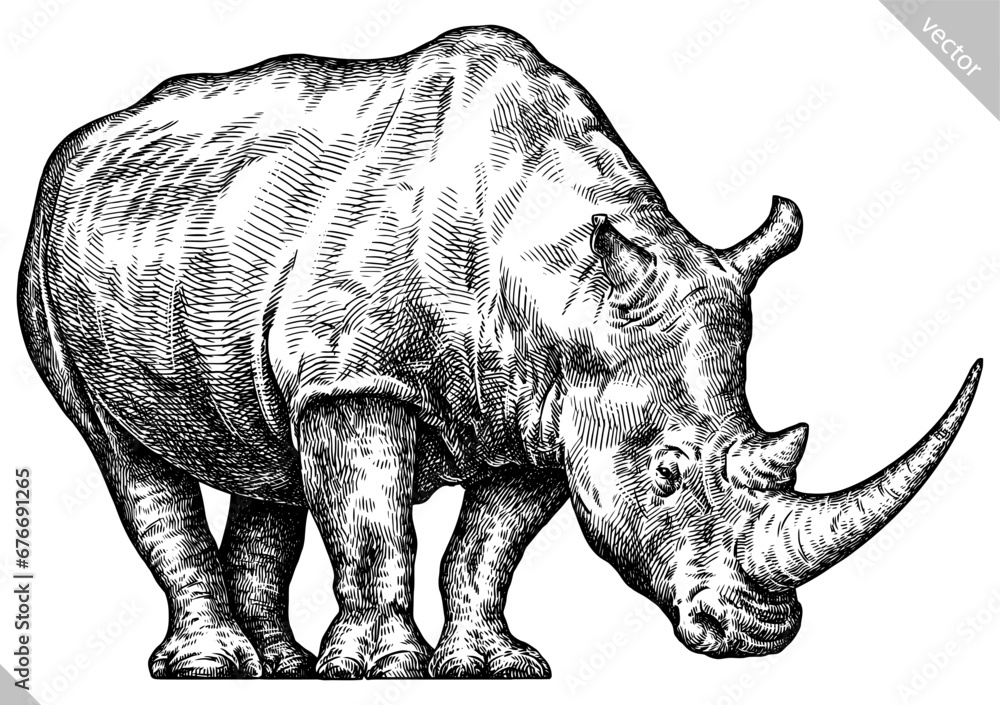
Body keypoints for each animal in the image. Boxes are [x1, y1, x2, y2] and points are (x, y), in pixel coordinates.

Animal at [18, 25, 980, 679]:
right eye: (668, 472)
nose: (762, 633)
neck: (558, 282)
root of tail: (80, 145)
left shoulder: (549, 411)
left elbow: (488, 545)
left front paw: (492, 664)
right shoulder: (356, 376)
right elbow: (375, 529)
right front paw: (380, 670)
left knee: (268, 455)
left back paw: (280, 666)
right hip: (43, 258)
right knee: (126, 451)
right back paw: (217, 665)